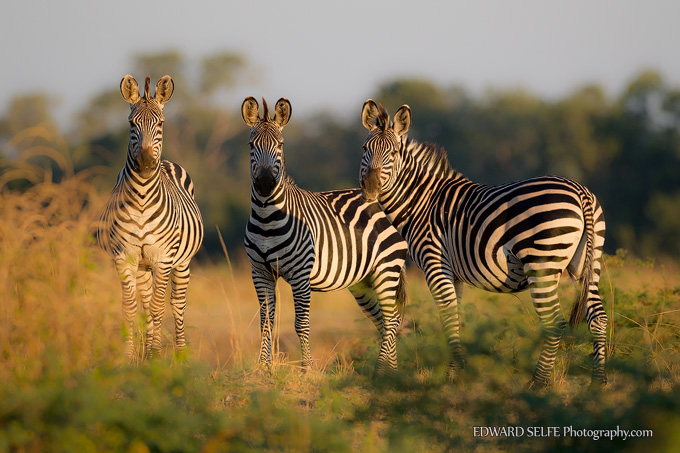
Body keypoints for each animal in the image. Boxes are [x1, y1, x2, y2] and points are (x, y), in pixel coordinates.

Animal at [97, 75, 204, 359]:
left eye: (161, 123)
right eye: (131, 123)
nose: (145, 162)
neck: (143, 198)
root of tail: (166, 162)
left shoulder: (163, 258)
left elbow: (158, 308)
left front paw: (155, 355)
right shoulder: (125, 256)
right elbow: (131, 309)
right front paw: (130, 357)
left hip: (181, 262)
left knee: (176, 304)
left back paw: (179, 353)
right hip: (143, 266)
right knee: (145, 304)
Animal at [242, 96, 408, 373]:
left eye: (280, 145)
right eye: (251, 145)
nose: (265, 183)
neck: (267, 217)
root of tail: (381, 199)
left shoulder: (300, 274)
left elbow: (301, 324)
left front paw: (307, 369)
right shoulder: (260, 272)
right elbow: (266, 323)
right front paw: (264, 368)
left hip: (387, 268)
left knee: (392, 319)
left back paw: (382, 370)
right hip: (364, 281)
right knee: (384, 320)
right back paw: (390, 371)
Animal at [358, 100, 607, 388]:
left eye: (394, 152)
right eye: (365, 149)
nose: (370, 188)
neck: (421, 202)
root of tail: (580, 191)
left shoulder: (435, 263)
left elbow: (447, 316)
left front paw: (454, 374)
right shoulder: (454, 274)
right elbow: (455, 317)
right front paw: (455, 373)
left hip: (542, 264)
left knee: (555, 323)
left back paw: (538, 383)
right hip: (588, 264)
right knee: (598, 317)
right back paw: (598, 382)